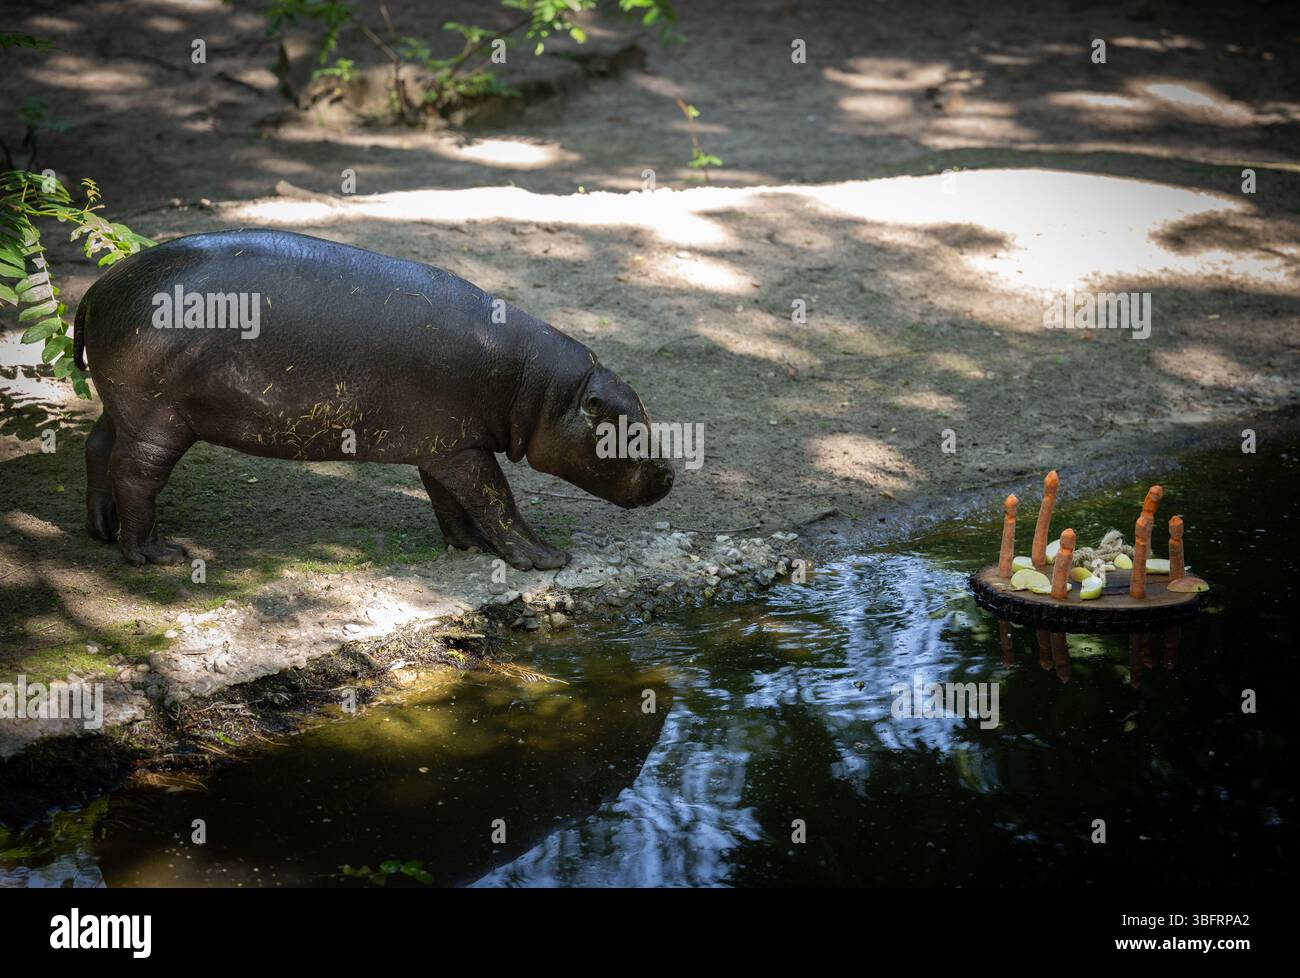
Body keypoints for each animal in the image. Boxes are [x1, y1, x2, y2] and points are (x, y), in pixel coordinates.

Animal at [73, 229, 674, 569]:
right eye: (625, 426)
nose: (669, 475)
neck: (544, 388)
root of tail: (98, 288)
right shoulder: (462, 449)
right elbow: (496, 498)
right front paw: (546, 559)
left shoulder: (445, 445)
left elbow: (452, 500)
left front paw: (471, 545)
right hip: (158, 418)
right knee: (136, 473)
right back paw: (156, 553)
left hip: (124, 407)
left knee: (97, 445)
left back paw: (101, 531)